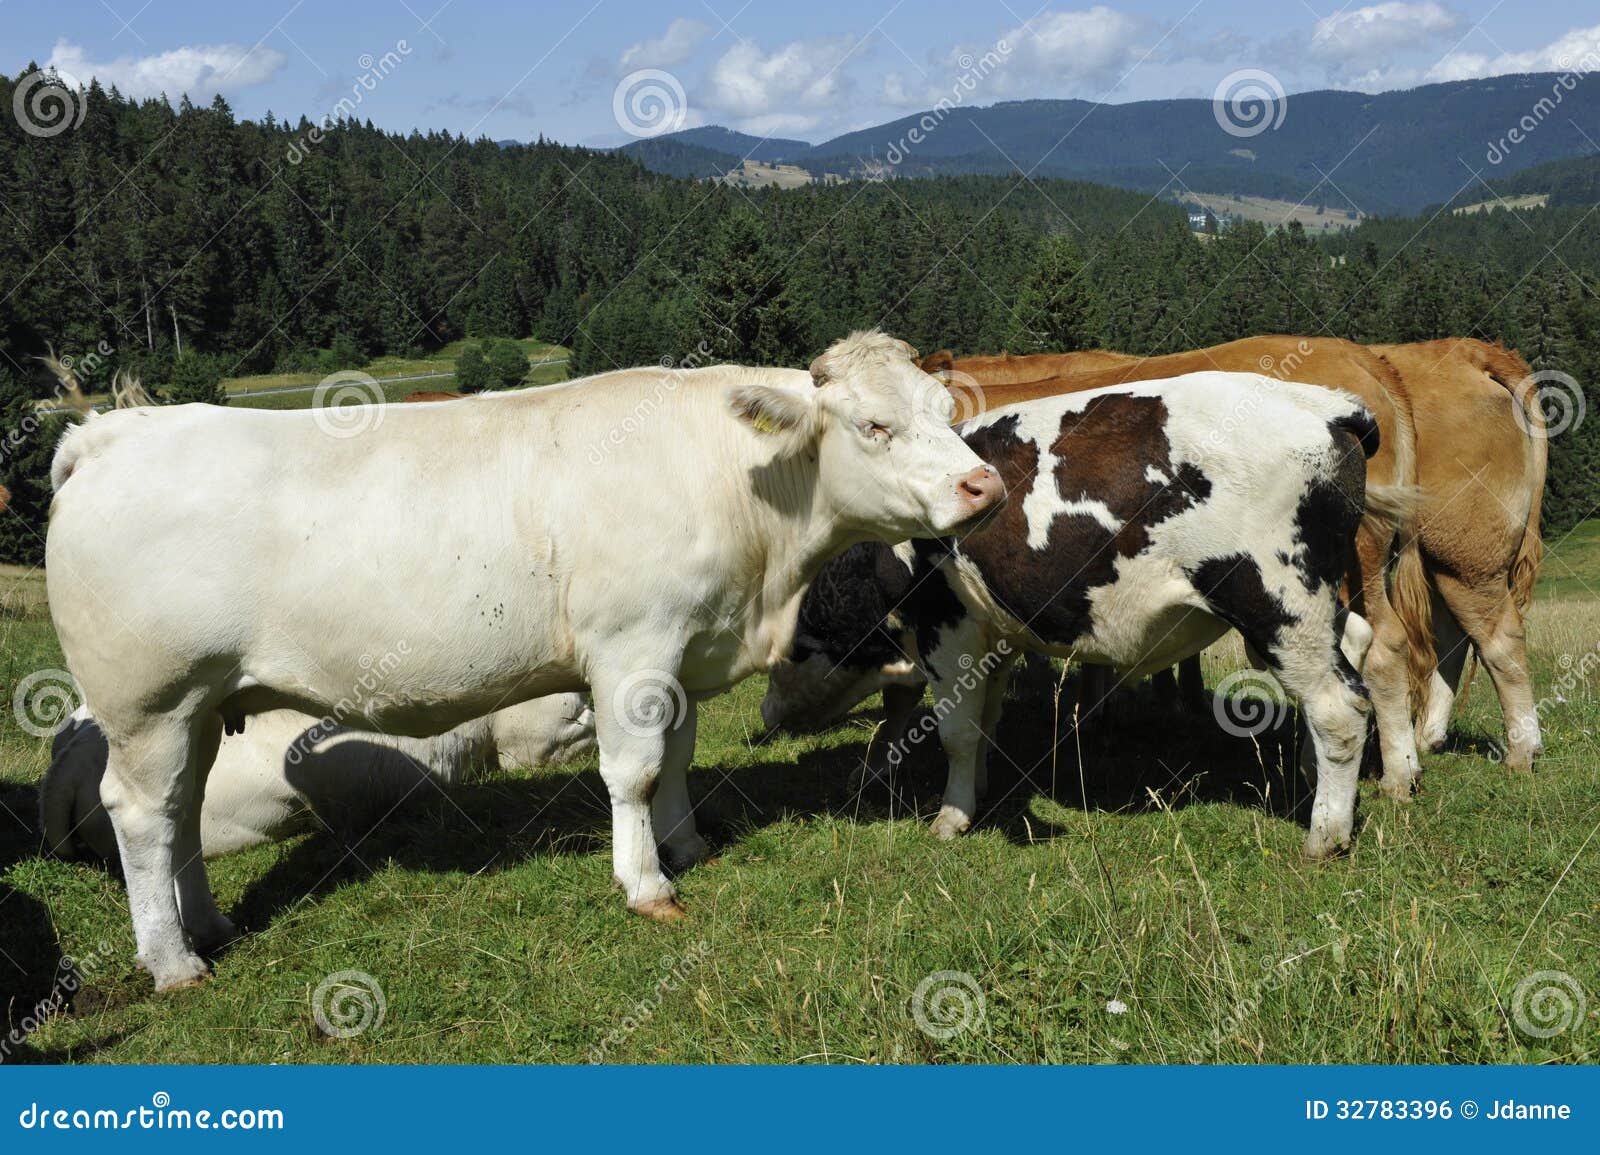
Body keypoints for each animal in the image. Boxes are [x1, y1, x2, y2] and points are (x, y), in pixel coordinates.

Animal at [762, 374, 1408, 857]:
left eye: (794, 644)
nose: (766, 715)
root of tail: (1328, 406)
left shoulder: (948, 625)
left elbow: (957, 731)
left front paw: (952, 815)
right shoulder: (998, 632)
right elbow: (986, 717)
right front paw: (981, 786)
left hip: (1275, 604)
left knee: (1339, 706)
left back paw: (1326, 835)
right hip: (1315, 607)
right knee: (1362, 647)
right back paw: (1349, 778)